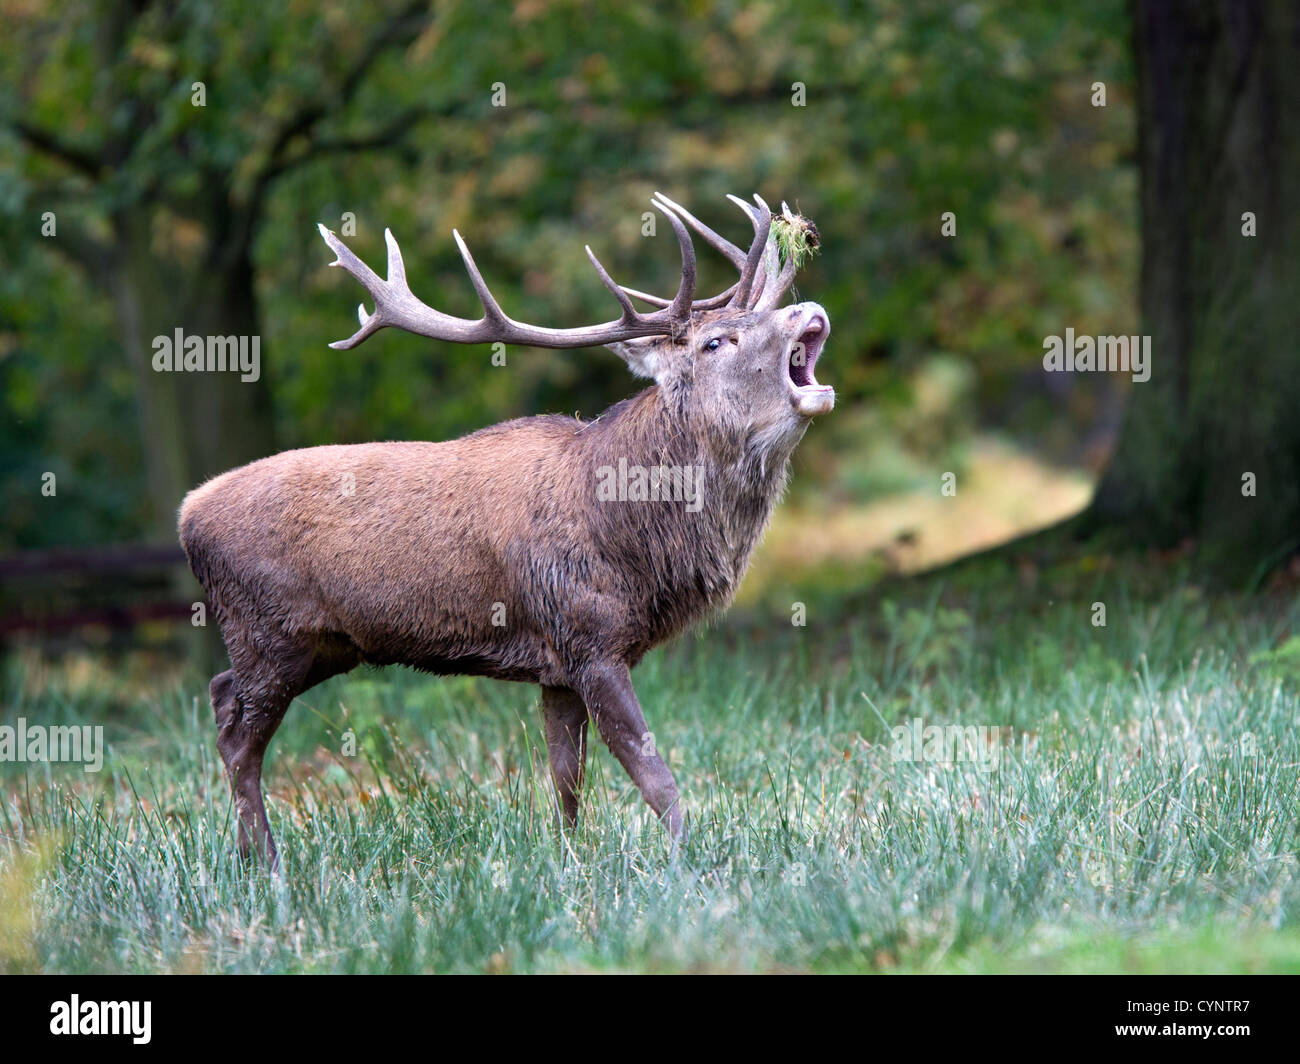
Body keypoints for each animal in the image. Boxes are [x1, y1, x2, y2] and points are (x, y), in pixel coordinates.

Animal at [178, 191, 833, 867]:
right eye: (716, 341)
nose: (808, 309)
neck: (631, 537)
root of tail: (187, 515)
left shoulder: (559, 666)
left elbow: (567, 780)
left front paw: (570, 860)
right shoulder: (588, 636)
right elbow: (655, 775)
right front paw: (688, 863)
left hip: (319, 643)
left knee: (221, 693)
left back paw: (248, 855)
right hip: (266, 628)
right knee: (239, 736)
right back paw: (266, 863)